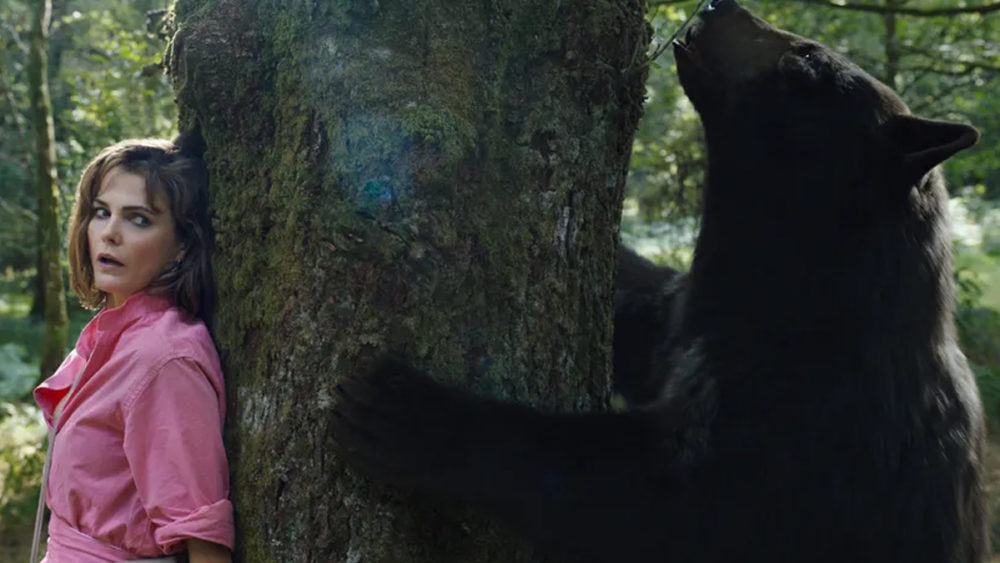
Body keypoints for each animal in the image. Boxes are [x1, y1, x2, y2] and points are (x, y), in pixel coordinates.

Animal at [331, 1, 987, 561]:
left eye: (807, 59)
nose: (719, 3)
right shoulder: (687, 319)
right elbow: (638, 313)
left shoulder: (814, 432)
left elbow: (655, 503)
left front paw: (415, 415)